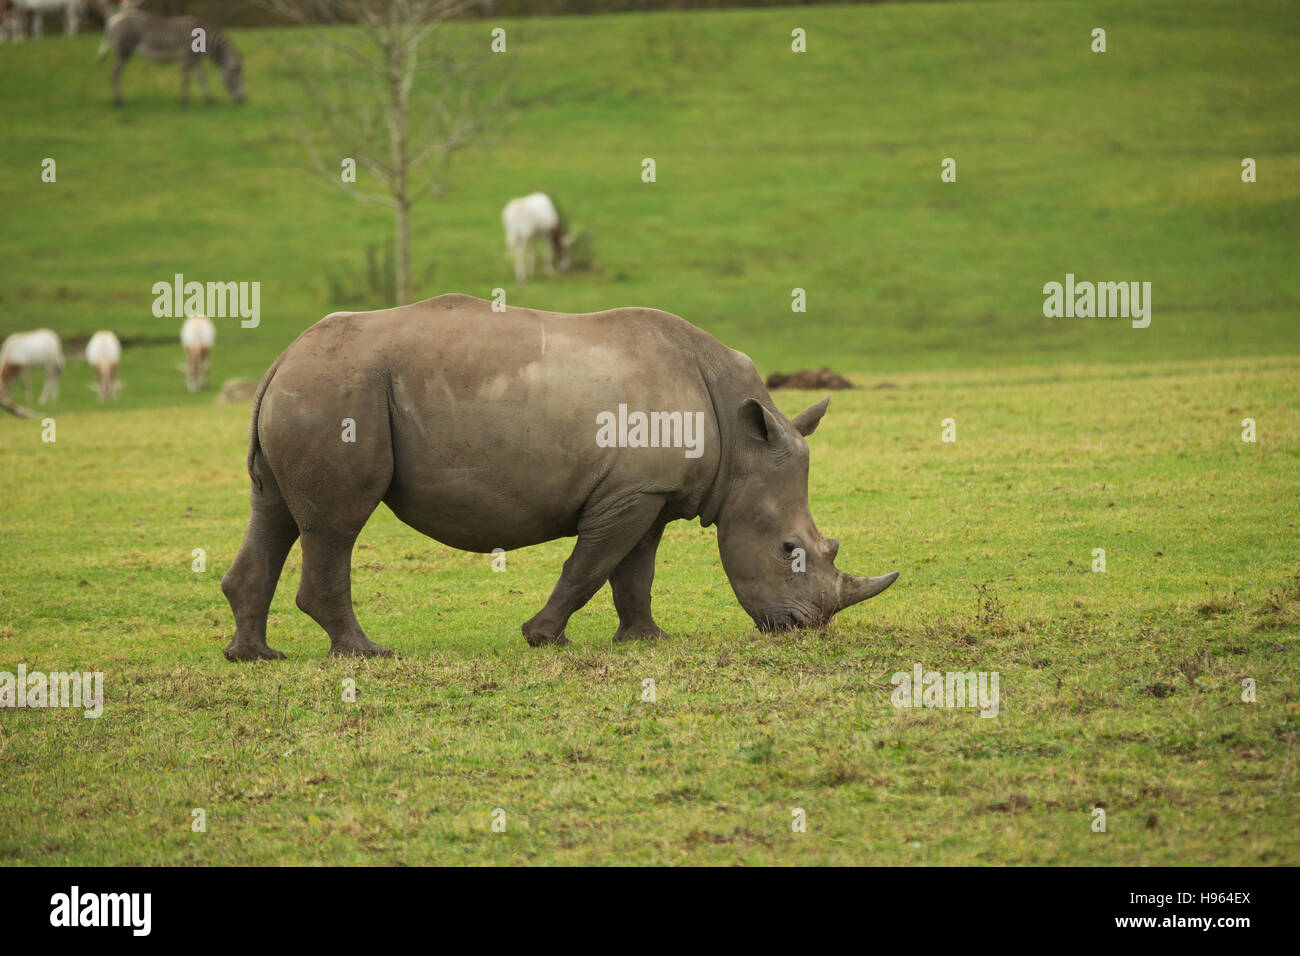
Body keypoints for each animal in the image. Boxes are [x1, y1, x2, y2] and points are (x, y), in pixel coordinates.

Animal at [220, 294, 898, 660]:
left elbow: (634, 572)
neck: (741, 446)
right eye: (788, 550)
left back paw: (256, 656)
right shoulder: (631, 493)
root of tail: (282, 358)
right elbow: (590, 566)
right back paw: (367, 653)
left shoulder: (649, 493)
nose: (804, 629)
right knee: (336, 526)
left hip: (315, 386)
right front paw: (543, 638)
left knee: (273, 511)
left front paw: (646, 641)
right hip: (340, 389)